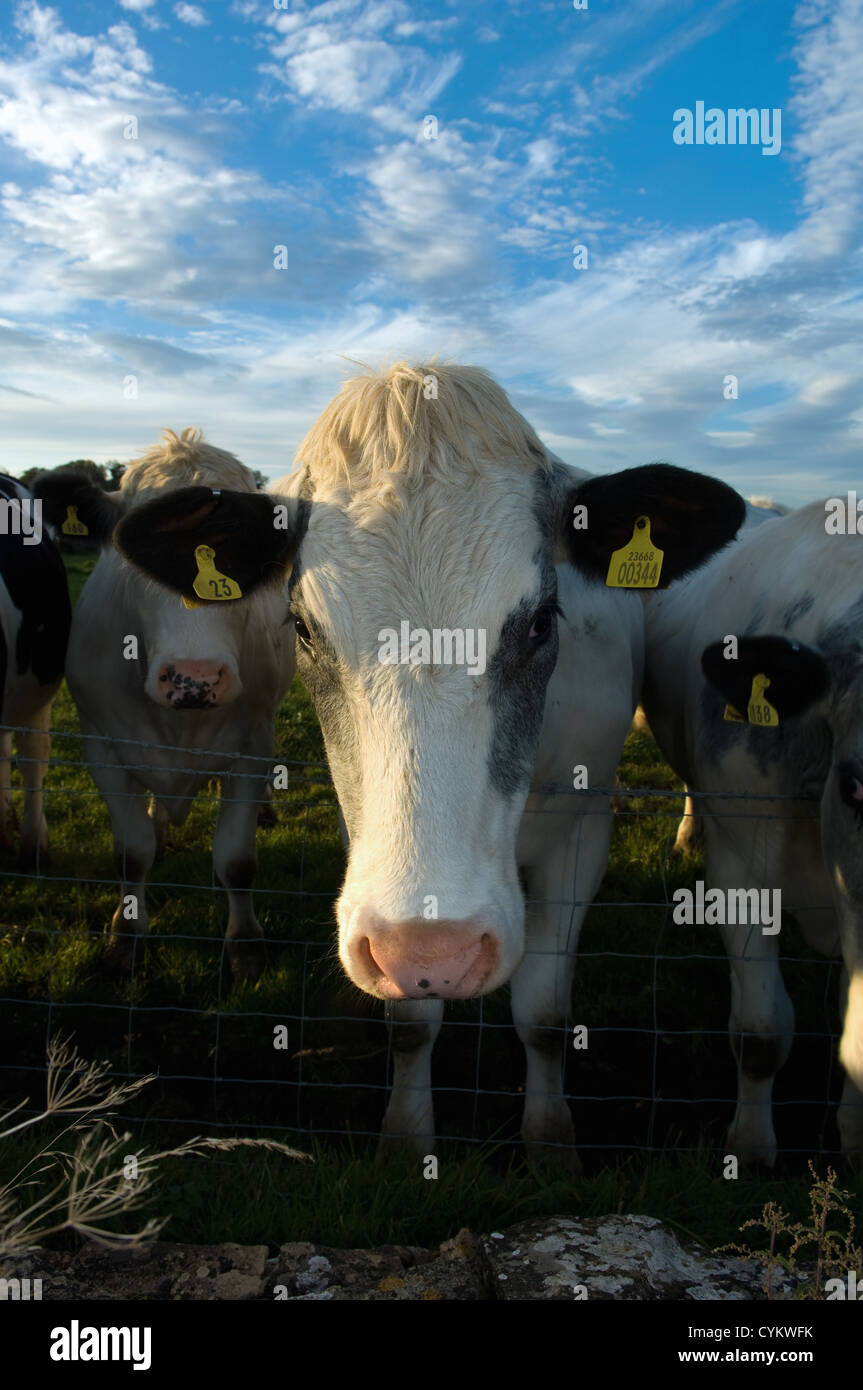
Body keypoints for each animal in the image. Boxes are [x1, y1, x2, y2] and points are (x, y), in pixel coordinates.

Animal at [32, 430, 296, 978]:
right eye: (131, 551)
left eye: (243, 553)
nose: (195, 678)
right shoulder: (101, 746)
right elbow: (132, 853)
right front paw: (126, 936)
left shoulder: (251, 746)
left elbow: (237, 861)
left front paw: (245, 946)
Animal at [109, 363, 744, 1160]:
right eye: (303, 628)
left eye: (541, 622)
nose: (432, 953)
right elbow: (411, 1024)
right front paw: (407, 1139)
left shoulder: (582, 834)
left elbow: (544, 1015)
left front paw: (549, 1144)